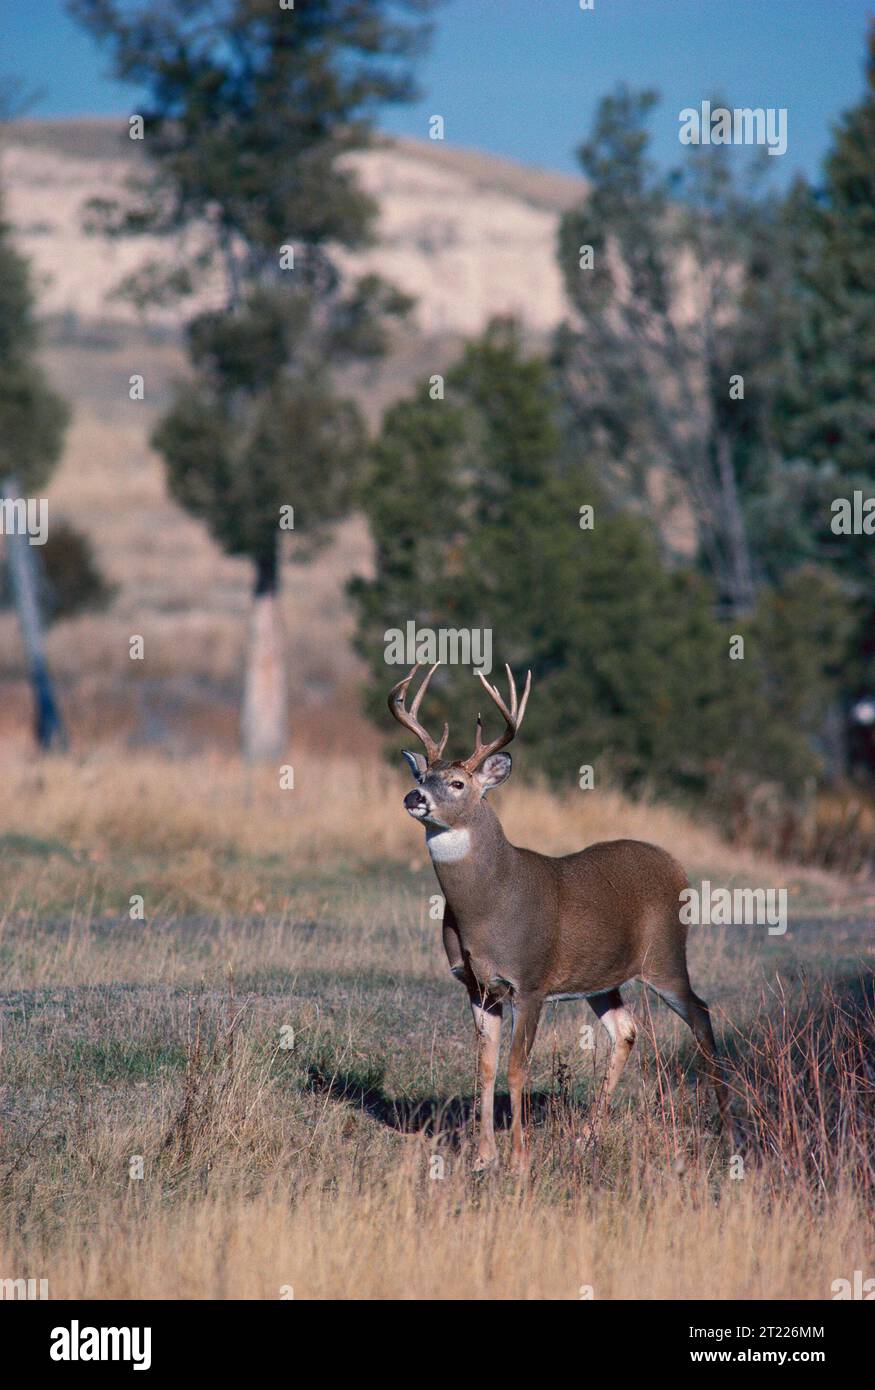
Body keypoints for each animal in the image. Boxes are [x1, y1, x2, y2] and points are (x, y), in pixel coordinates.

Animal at [388, 661, 736, 1172]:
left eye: (457, 783)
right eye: (424, 774)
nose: (414, 797)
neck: (488, 907)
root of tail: (677, 865)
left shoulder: (530, 981)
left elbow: (517, 1066)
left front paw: (518, 1159)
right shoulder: (476, 985)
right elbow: (486, 1065)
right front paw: (483, 1157)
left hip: (666, 956)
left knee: (702, 1015)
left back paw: (730, 1135)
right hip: (603, 977)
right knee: (626, 1031)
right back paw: (585, 1138)